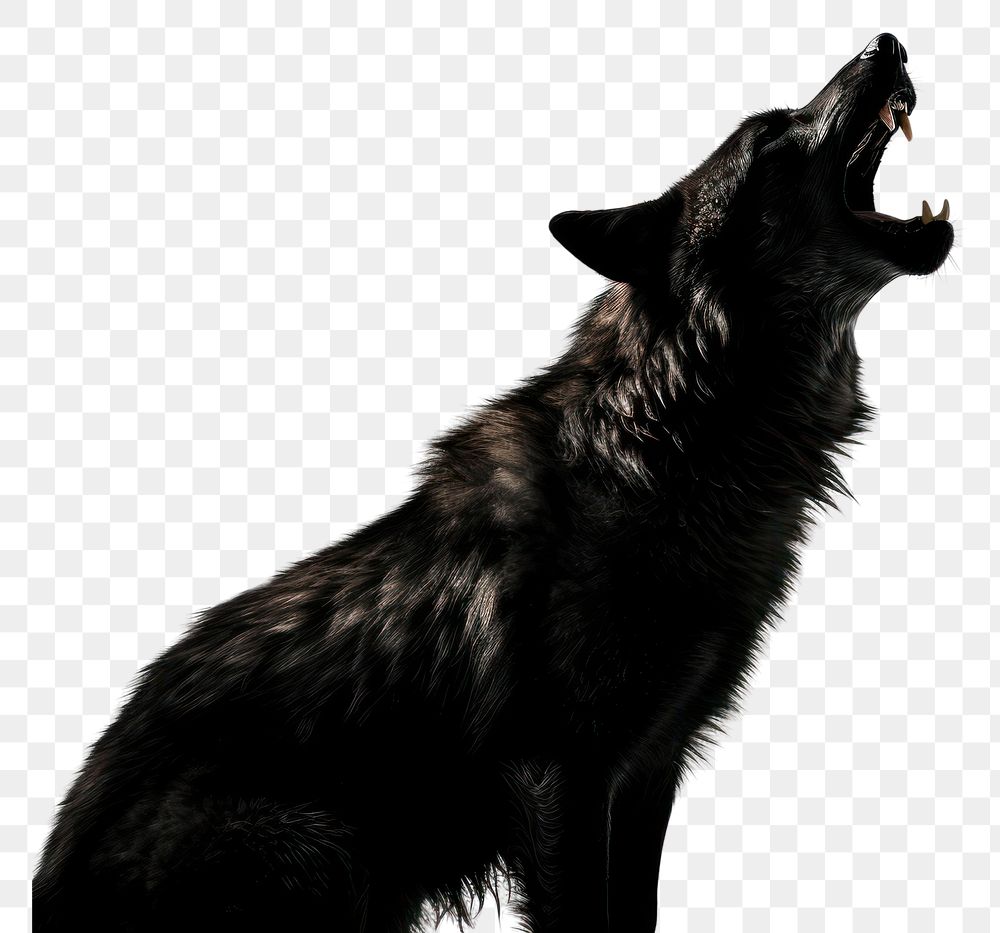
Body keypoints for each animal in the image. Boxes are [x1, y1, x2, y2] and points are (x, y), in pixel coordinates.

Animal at [34, 33, 952, 933]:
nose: (888, 42)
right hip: (326, 845)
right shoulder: (561, 769)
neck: (668, 440)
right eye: (770, 135)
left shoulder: (651, 764)